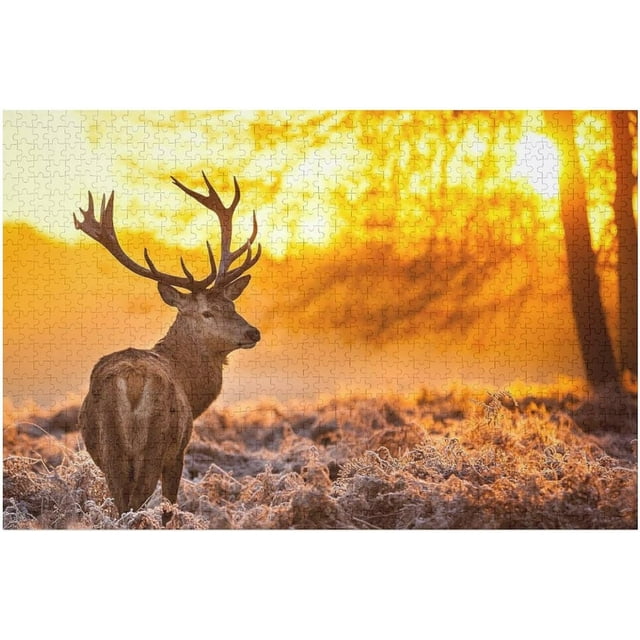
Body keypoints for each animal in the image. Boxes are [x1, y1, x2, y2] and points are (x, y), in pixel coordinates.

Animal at [74, 172, 261, 518]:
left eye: (232, 305)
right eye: (207, 312)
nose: (253, 332)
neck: (190, 386)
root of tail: (132, 380)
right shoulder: (179, 450)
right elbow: (169, 508)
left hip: (110, 450)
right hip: (156, 442)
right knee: (136, 504)